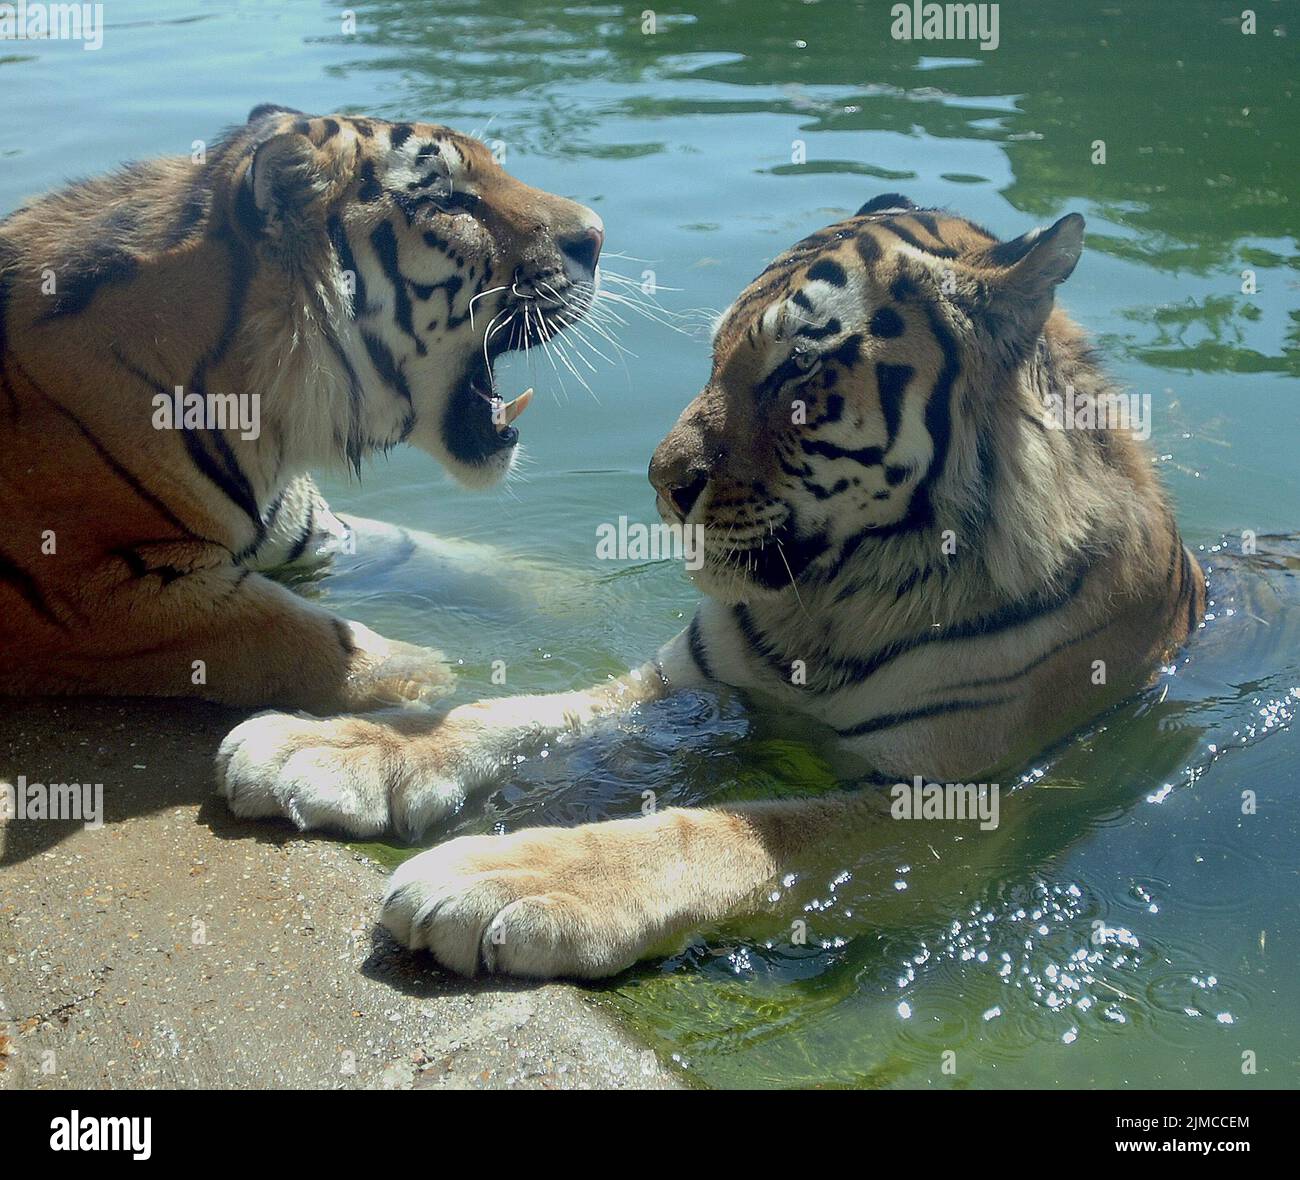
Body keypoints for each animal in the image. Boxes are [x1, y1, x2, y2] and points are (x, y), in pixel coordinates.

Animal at [0, 104, 603, 712]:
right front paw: (427, 675)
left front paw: (570, 590)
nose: (597, 236)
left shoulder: (318, 532)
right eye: (445, 200)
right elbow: (295, 632)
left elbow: (443, 552)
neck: (271, 432)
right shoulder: (98, 591)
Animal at [217, 194, 1205, 979]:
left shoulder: (953, 807)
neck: (829, 607)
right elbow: (510, 712)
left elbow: (728, 827)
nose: (661, 482)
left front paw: (501, 878)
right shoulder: (684, 677)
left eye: (800, 368)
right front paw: (324, 745)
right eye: (718, 354)